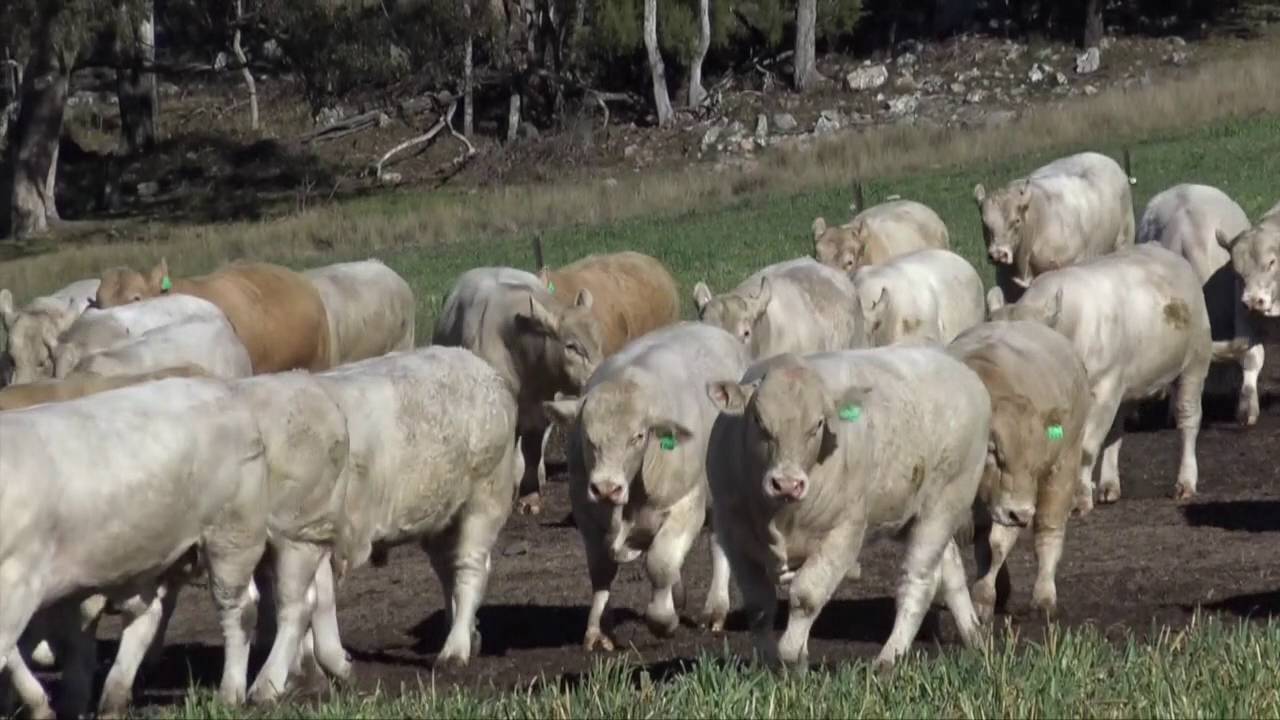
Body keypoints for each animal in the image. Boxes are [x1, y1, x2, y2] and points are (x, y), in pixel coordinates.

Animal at [0, 377, 269, 717]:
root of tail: (216, 388)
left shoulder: (18, 582)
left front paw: (38, 707)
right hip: (133, 558)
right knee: (147, 614)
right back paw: (111, 698)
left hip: (233, 537)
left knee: (238, 611)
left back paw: (230, 694)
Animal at [543, 323, 748, 650]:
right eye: (587, 436)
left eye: (637, 437)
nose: (606, 488)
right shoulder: (586, 515)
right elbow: (601, 571)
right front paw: (598, 630)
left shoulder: (685, 505)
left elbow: (660, 563)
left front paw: (663, 621)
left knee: (718, 544)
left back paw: (715, 609)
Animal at [705, 346, 990, 670]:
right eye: (758, 420)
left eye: (817, 424)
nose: (787, 484)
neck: (779, 516)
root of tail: (958, 368)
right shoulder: (735, 534)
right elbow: (759, 605)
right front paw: (770, 665)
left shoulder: (844, 533)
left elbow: (806, 597)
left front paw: (792, 659)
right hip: (915, 515)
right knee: (951, 569)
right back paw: (974, 638)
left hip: (942, 508)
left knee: (918, 582)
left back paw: (889, 658)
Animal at [947, 321, 1089, 621]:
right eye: (992, 450)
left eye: (1033, 462)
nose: (1022, 514)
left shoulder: (1015, 498)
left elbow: (998, 544)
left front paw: (983, 598)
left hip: (1063, 469)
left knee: (1048, 531)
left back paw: (1044, 595)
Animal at [988, 244, 1212, 509]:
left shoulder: (1105, 388)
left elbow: (1085, 448)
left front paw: (1080, 498)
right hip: (1128, 385)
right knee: (1116, 431)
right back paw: (1109, 485)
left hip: (1194, 363)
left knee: (1188, 419)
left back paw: (1185, 482)